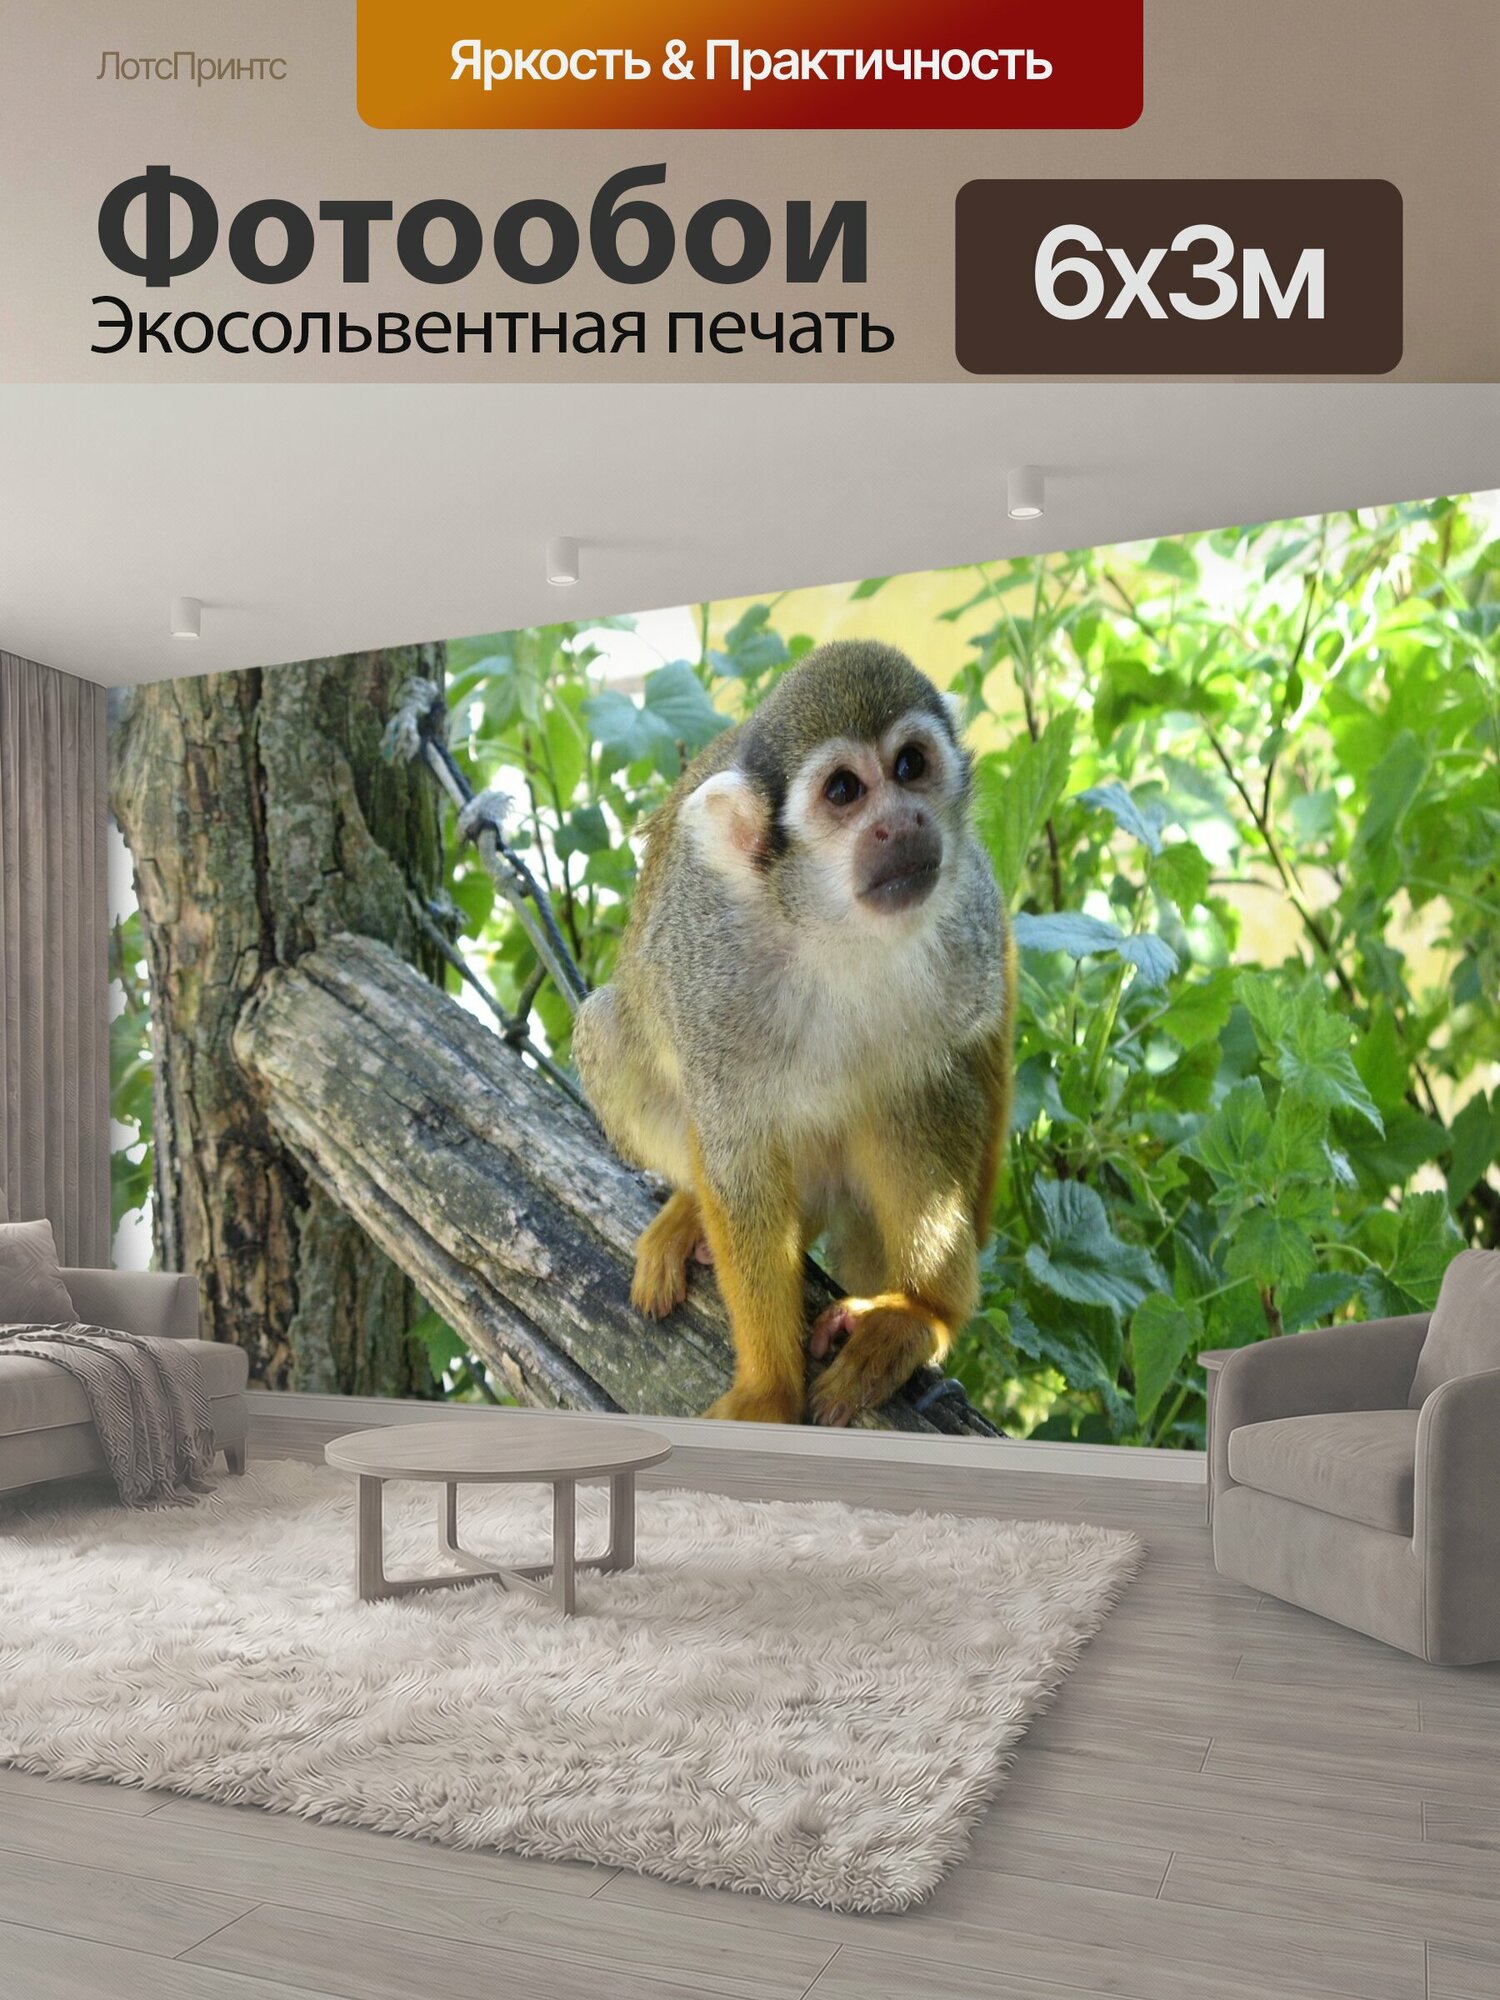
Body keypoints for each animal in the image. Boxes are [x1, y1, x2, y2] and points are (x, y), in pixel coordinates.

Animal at [573, 640, 1016, 1426]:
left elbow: (970, 1046)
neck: (829, 926)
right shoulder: (711, 975)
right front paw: (769, 1391)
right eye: (843, 791)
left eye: (911, 766)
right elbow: (737, 1152)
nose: (903, 823)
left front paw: (931, 1311)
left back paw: (917, 1311)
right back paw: (692, 1213)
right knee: (612, 1034)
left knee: (904, 1091)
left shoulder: (969, 904)